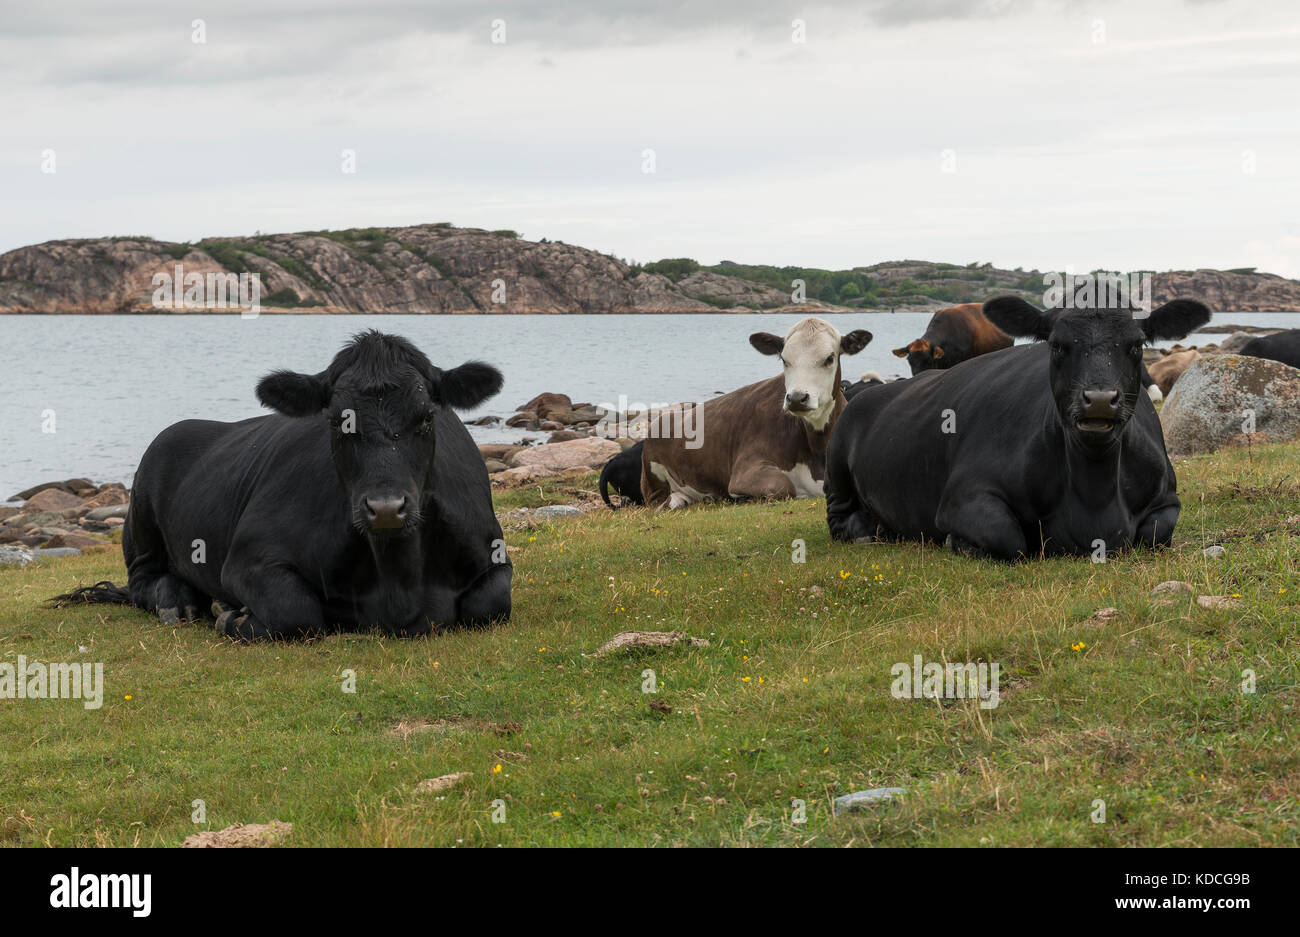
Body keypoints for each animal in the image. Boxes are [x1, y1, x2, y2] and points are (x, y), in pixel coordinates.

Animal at [52, 331, 511, 640]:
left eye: (427, 416)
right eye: (336, 420)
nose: (384, 508)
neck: (399, 585)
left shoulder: (493, 553)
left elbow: (491, 605)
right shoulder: (247, 559)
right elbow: (297, 612)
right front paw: (231, 614)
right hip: (143, 522)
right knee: (143, 580)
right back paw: (179, 600)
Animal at [641, 317, 872, 509]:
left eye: (830, 358)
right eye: (784, 359)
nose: (797, 397)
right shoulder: (744, 470)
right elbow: (782, 485)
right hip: (652, 472)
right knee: (657, 499)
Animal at [826, 297, 1211, 560]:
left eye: (1136, 345)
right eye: (1056, 345)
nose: (1100, 399)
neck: (1095, 495)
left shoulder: (1167, 497)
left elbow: (1156, 533)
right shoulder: (963, 496)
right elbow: (1009, 539)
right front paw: (955, 541)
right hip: (836, 465)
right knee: (839, 517)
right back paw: (872, 528)